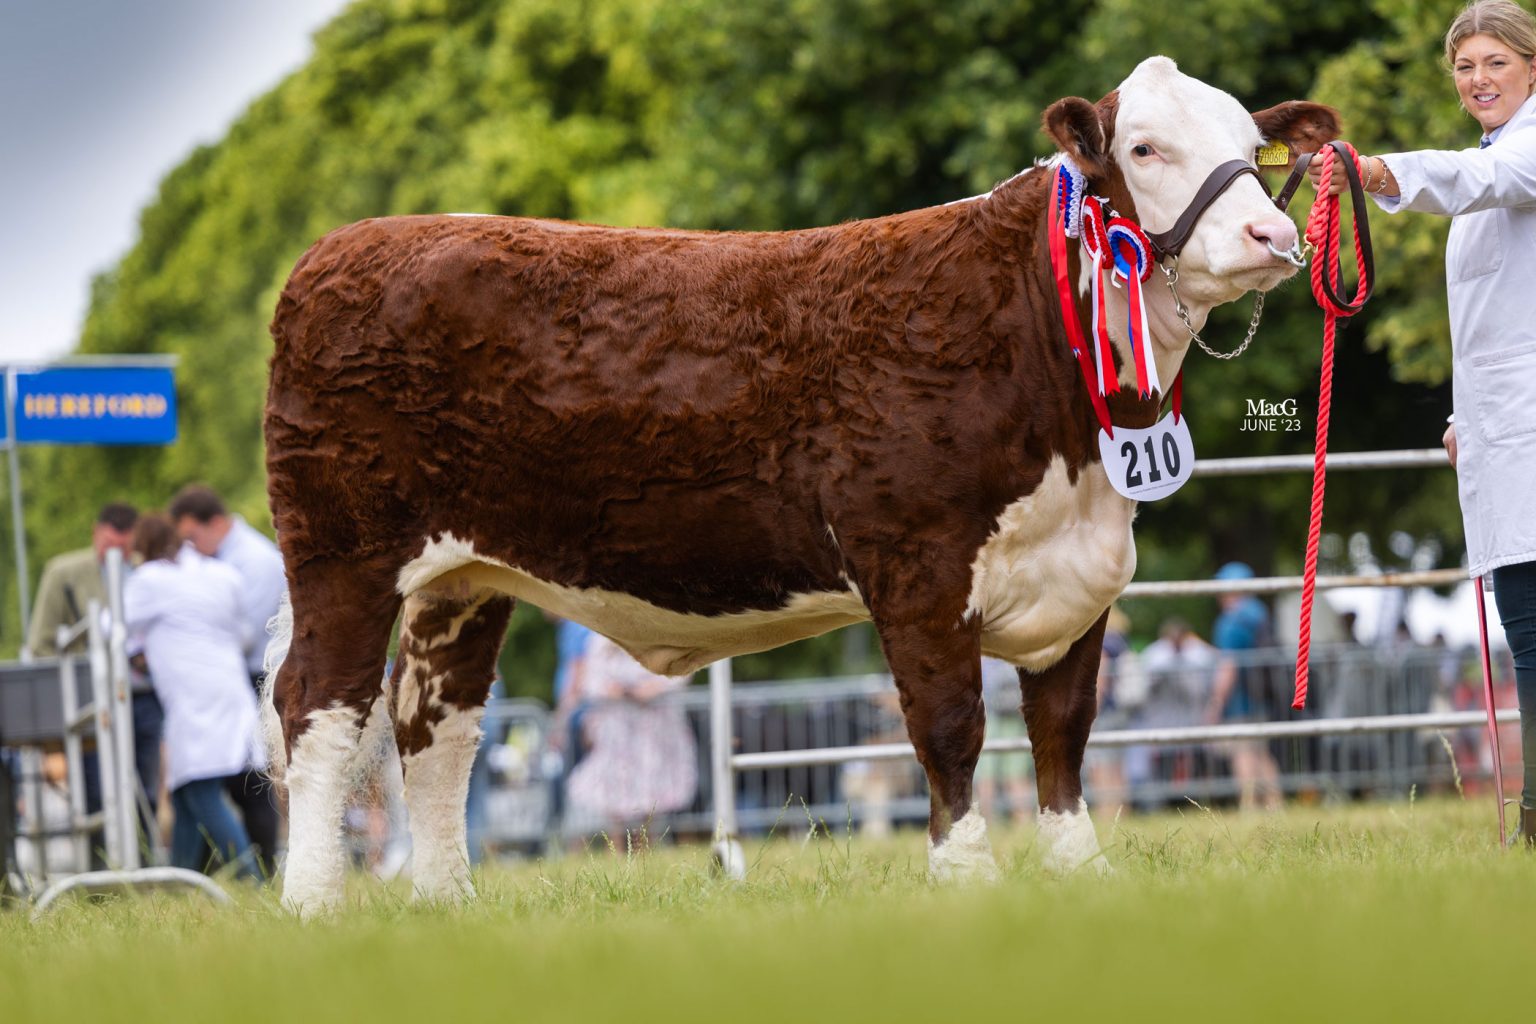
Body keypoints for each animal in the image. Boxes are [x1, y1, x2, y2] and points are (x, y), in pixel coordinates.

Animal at [262, 56, 1338, 915]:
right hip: (343, 550)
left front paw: (1080, 871)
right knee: (322, 709)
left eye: (1252, 144)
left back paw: (448, 901)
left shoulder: (1081, 570)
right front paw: (968, 876)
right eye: (1145, 148)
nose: (1267, 234)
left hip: (464, 578)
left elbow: (1064, 730)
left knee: (434, 727)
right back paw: (314, 903)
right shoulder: (915, 563)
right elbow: (951, 726)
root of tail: (342, 248)